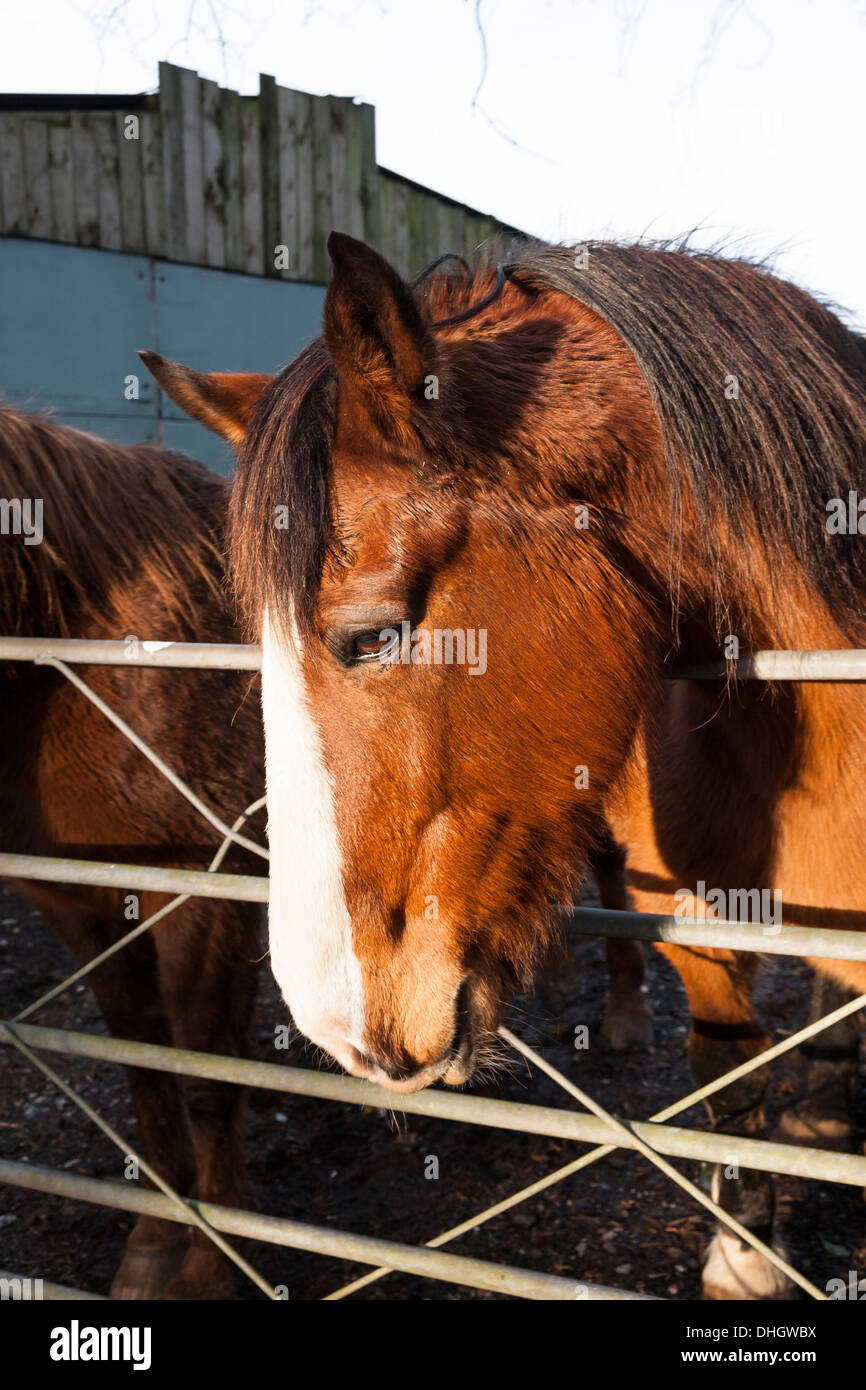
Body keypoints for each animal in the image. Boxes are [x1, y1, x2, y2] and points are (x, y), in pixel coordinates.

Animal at [0, 406, 265, 1299]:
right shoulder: (81, 905)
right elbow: (141, 1061)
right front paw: (156, 1235)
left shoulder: (204, 896)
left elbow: (206, 1072)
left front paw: (216, 1263)